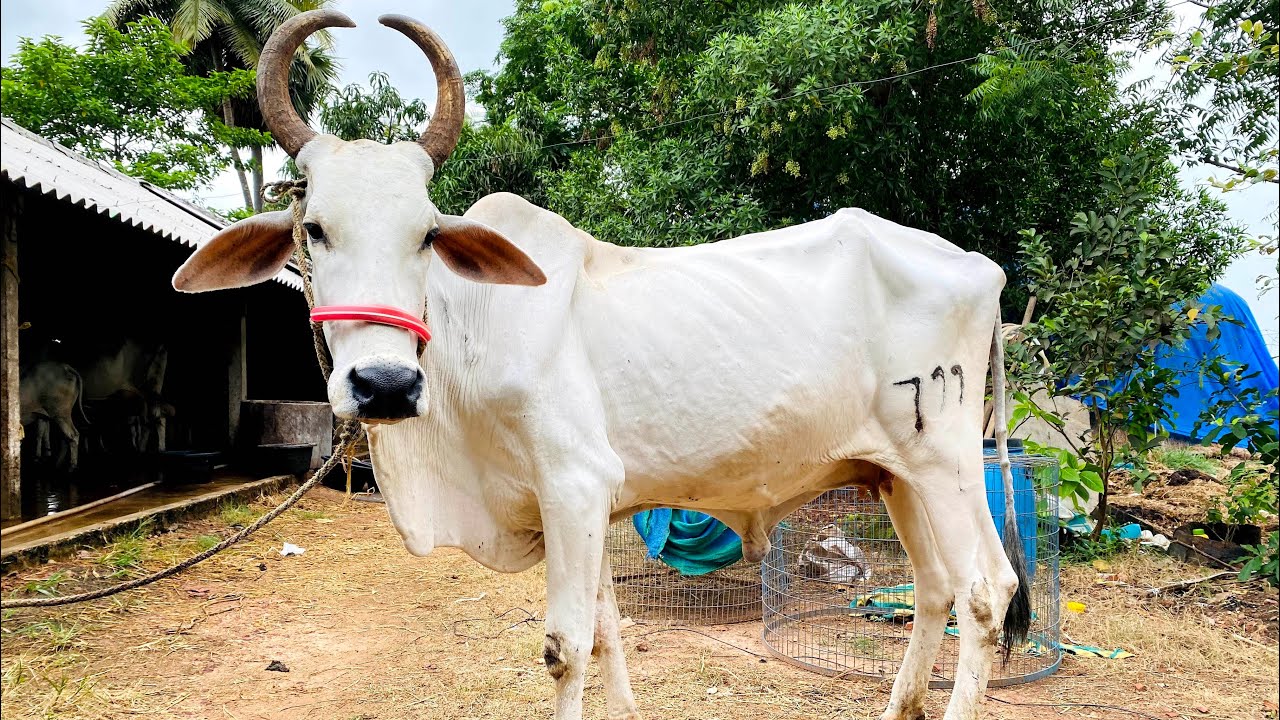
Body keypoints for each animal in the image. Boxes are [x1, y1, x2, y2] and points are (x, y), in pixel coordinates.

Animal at [170, 11, 1030, 720]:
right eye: (314, 228)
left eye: (427, 233)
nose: (384, 385)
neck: (471, 334)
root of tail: (981, 267)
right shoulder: (584, 506)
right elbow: (610, 635)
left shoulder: (574, 485)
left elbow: (565, 647)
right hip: (895, 475)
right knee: (934, 589)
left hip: (946, 460)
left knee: (985, 594)